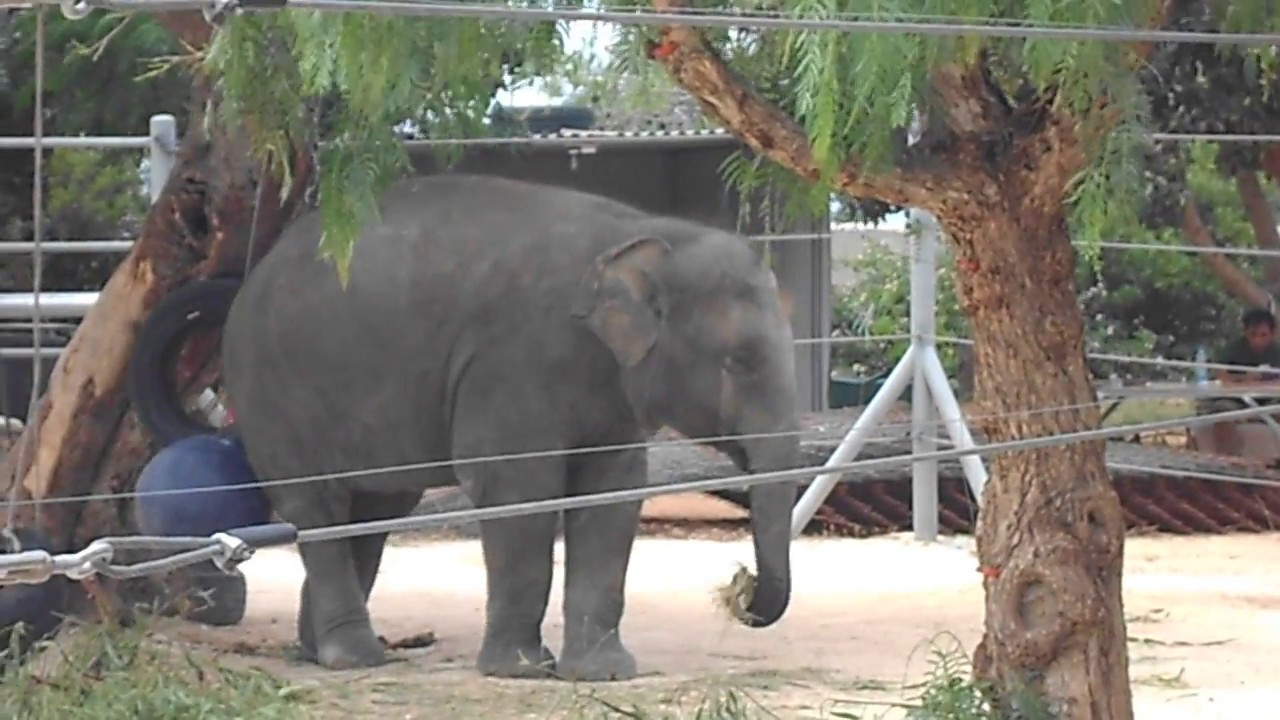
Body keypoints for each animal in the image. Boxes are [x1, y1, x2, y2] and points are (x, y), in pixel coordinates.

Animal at [220, 173, 802, 681]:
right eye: (739, 362)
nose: (741, 586)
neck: (649, 232)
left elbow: (612, 496)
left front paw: (603, 674)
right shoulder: (514, 361)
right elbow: (519, 491)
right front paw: (522, 671)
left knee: (375, 510)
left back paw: (319, 652)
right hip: (271, 395)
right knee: (317, 510)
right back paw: (355, 659)